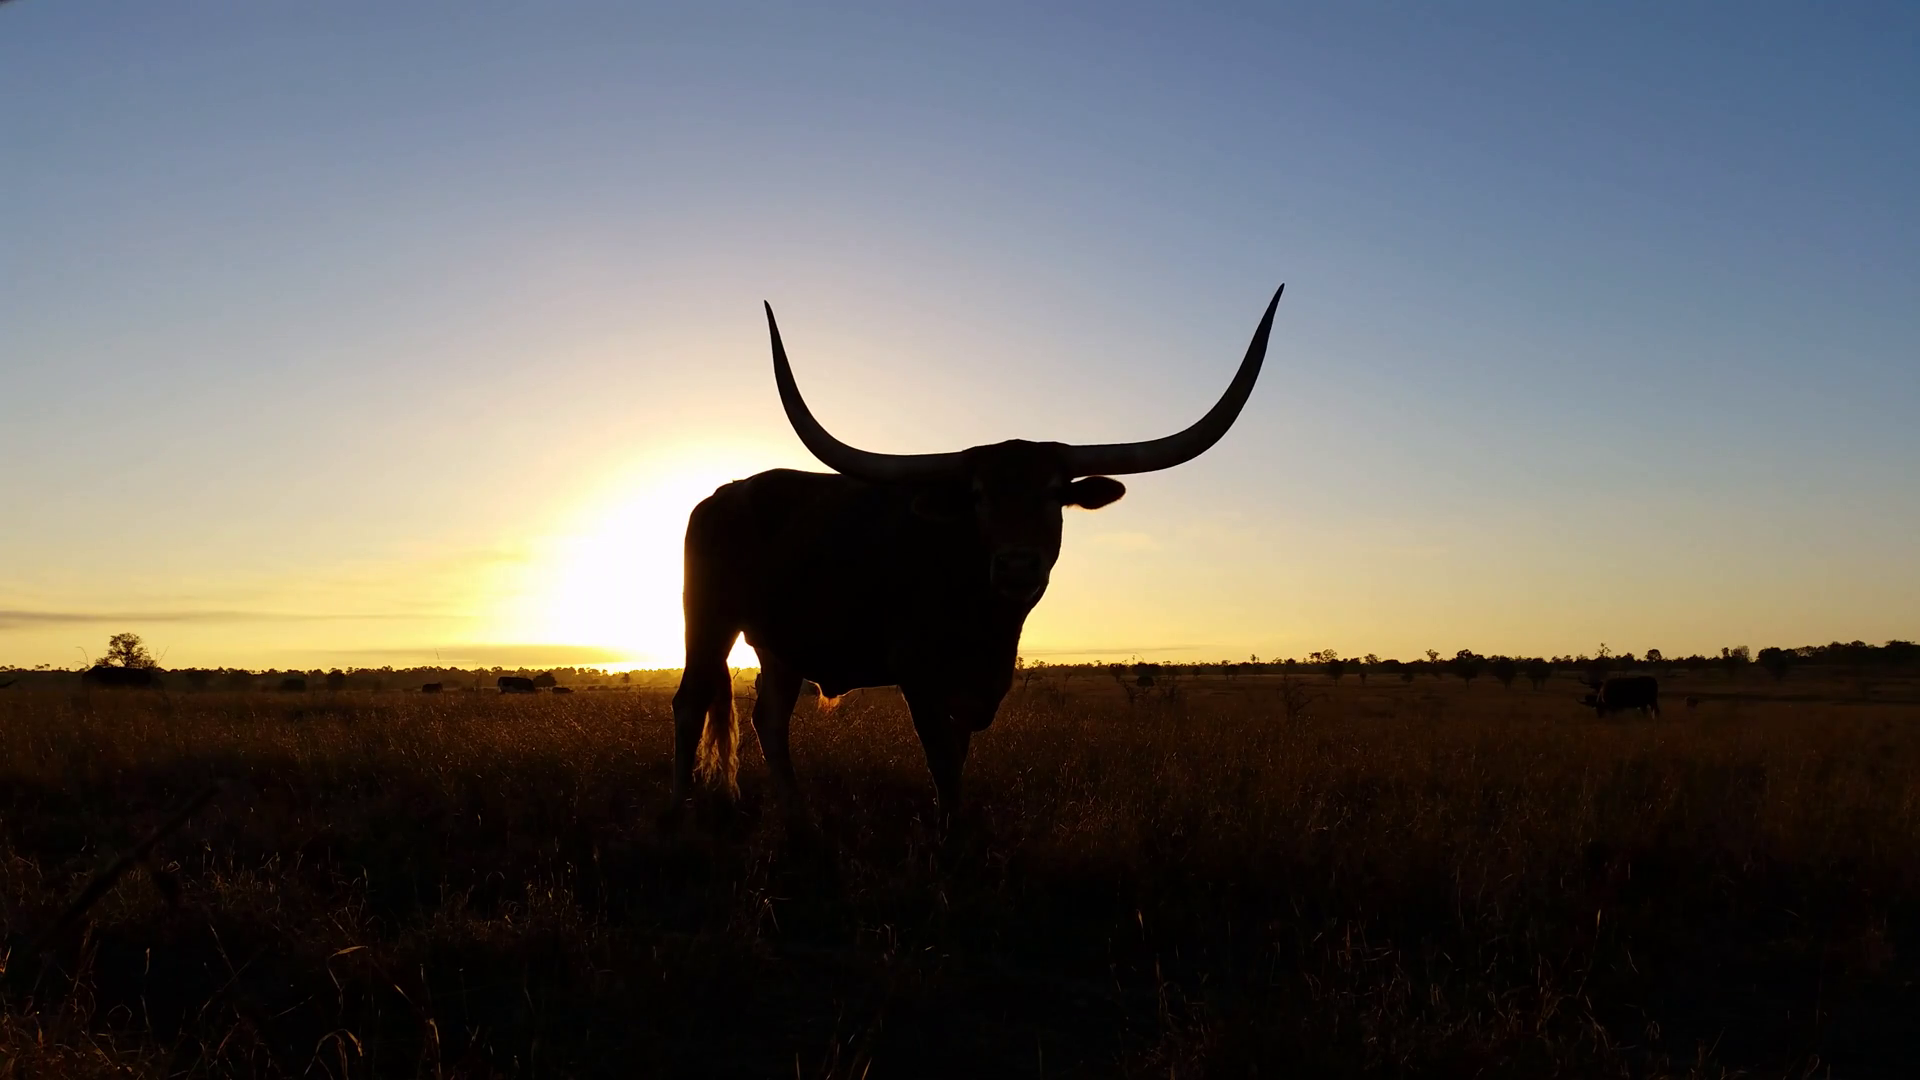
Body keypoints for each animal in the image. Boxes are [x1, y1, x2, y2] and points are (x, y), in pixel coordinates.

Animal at [669, 285, 1284, 818]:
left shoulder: (979, 685)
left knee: (769, 719)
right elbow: (942, 760)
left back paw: (801, 820)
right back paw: (682, 810)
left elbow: (958, 760)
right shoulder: (918, 673)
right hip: (709, 621)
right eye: (978, 495)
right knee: (690, 701)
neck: (983, 617)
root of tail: (724, 493)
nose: (1016, 564)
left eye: (1054, 494)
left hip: (783, 645)